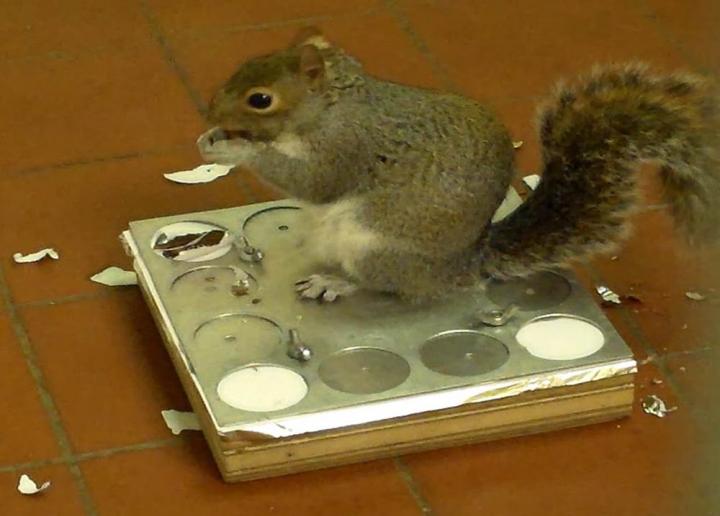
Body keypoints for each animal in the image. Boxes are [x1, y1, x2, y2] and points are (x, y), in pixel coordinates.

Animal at [198, 27, 720, 303]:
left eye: (260, 99)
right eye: (246, 62)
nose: (209, 111)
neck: (334, 102)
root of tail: (466, 264)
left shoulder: (346, 147)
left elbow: (314, 181)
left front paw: (234, 150)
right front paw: (216, 139)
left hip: (376, 246)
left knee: (387, 286)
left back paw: (337, 282)